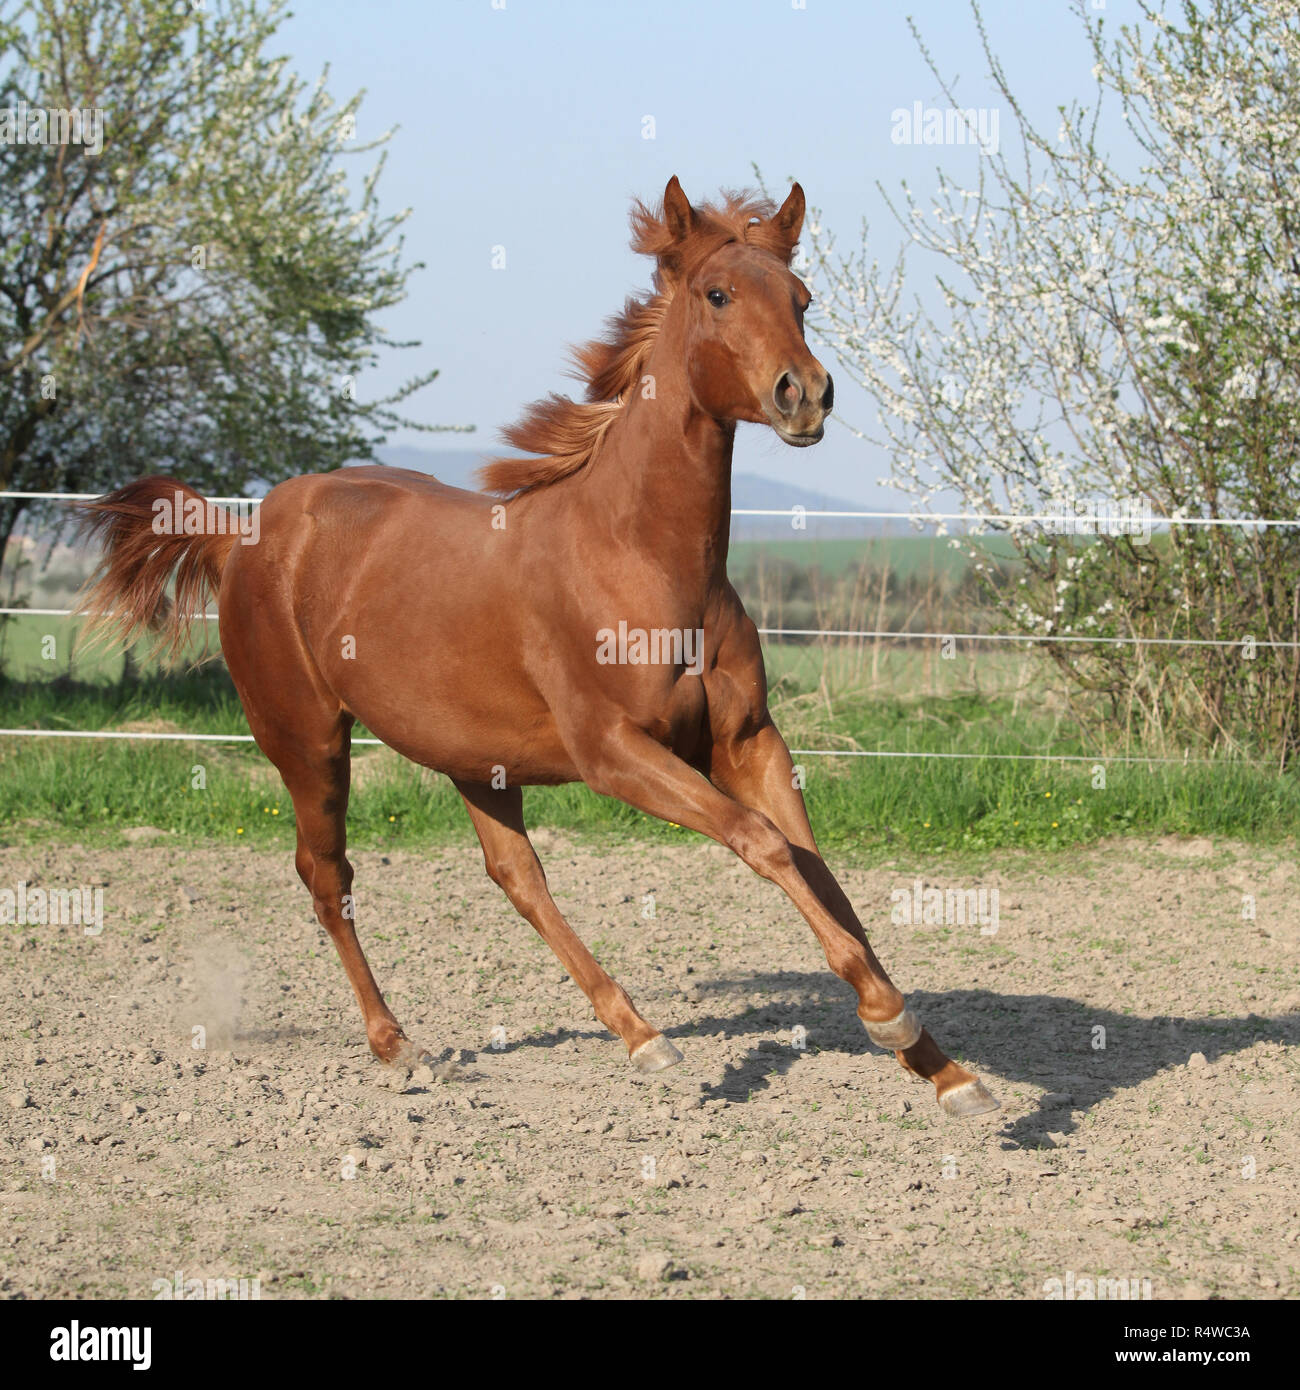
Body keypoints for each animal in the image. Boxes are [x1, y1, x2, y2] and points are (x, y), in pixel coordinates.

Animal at [79, 177, 998, 1118]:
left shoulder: (747, 742)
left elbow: (821, 872)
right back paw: (398, 1046)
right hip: (307, 742)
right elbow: (764, 844)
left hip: (471, 758)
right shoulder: (616, 753)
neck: (641, 559)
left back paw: (640, 1035)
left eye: (803, 300)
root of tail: (244, 532)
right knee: (327, 877)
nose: (804, 394)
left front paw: (939, 1063)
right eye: (718, 294)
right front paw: (891, 1022)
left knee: (515, 876)